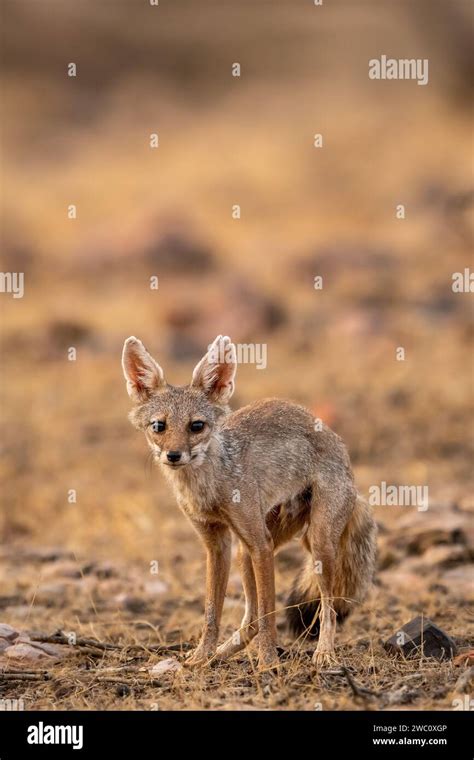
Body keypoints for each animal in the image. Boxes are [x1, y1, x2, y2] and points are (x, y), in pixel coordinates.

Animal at [122, 334, 377, 669]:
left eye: (196, 426)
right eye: (159, 426)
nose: (173, 456)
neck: (209, 488)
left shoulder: (261, 545)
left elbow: (270, 616)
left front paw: (269, 662)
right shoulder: (217, 544)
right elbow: (212, 613)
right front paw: (201, 656)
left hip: (316, 545)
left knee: (327, 610)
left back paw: (324, 653)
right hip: (246, 550)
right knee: (251, 619)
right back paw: (219, 655)